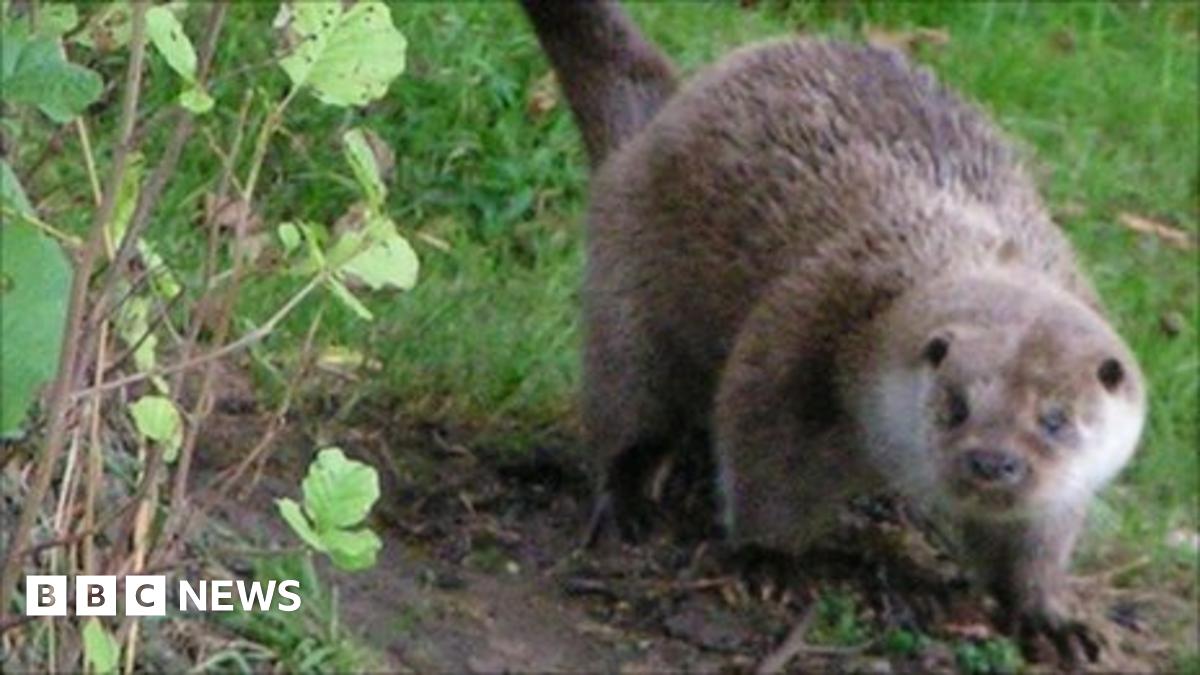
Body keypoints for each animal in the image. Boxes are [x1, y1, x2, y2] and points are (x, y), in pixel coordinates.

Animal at [519, 0, 1147, 661]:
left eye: (1055, 420)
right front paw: (768, 560)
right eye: (954, 406)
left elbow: (1035, 544)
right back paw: (628, 500)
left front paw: (1052, 616)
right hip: (631, 278)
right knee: (627, 401)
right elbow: (763, 459)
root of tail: (658, 121)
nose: (992, 462)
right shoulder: (803, 336)